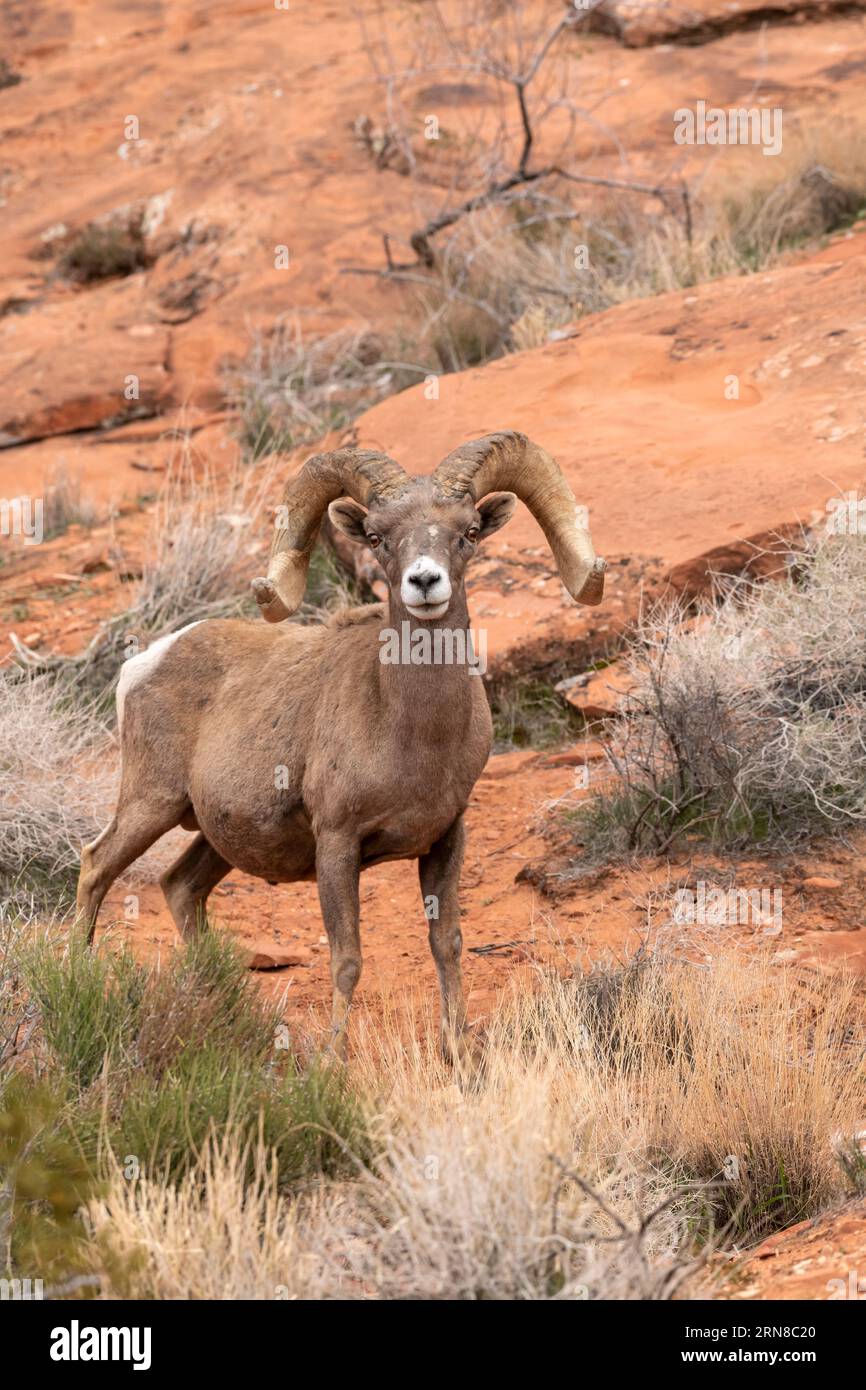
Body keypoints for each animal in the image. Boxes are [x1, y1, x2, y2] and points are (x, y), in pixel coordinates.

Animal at [76, 432, 605, 1058]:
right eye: (377, 537)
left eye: (469, 531)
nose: (424, 582)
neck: (412, 738)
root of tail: (145, 662)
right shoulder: (337, 844)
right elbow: (347, 958)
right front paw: (332, 1056)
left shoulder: (446, 839)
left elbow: (447, 942)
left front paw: (456, 1049)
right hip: (150, 803)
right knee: (96, 868)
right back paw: (73, 973)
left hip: (210, 835)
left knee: (179, 888)